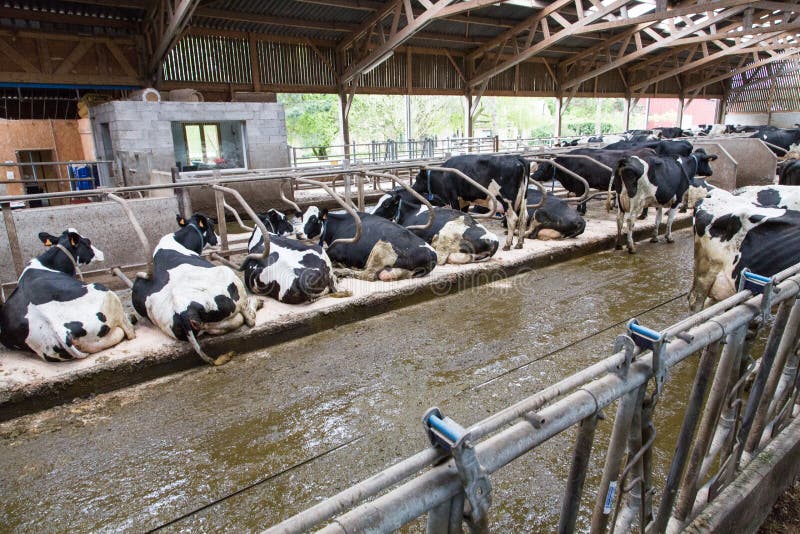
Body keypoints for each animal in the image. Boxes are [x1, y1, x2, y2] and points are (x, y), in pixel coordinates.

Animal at [302, 205, 438, 282]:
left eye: (314, 219)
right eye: (302, 218)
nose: (298, 233)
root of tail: (432, 254)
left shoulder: (337, 250)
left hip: (380, 250)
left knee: (368, 275)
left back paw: (342, 272)